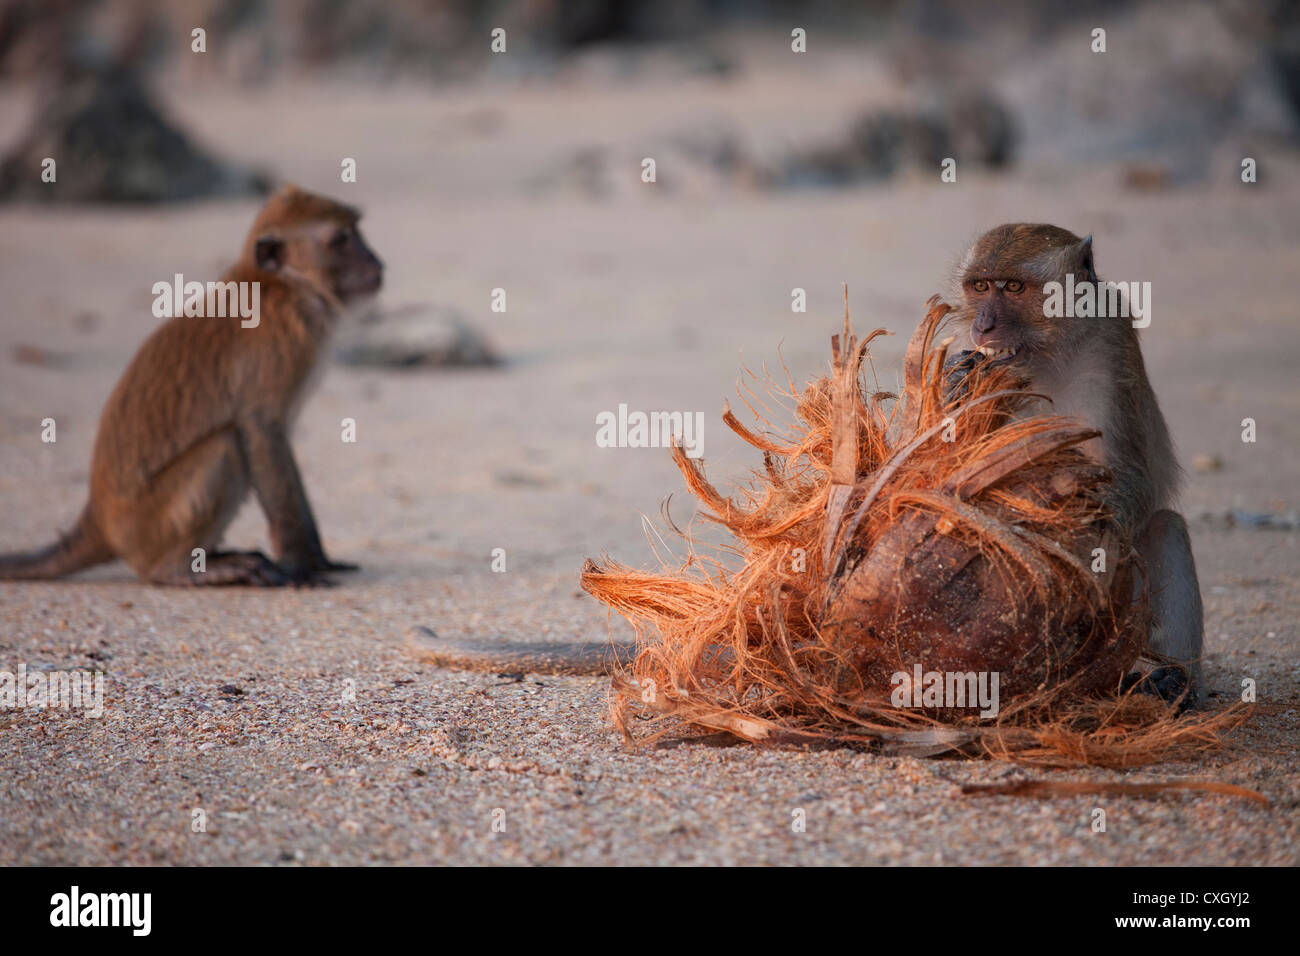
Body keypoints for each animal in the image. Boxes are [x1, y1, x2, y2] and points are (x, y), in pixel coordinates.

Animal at [0, 185, 382, 586]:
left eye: (355, 232)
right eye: (341, 240)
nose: (376, 261)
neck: (285, 285)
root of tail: (100, 520)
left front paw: (317, 559)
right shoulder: (289, 342)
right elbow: (260, 430)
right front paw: (299, 564)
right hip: (151, 523)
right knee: (226, 445)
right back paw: (179, 569)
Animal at [941, 223, 1204, 708]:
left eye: (1013, 288)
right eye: (981, 286)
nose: (983, 325)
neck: (1052, 350)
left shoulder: (1112, 345)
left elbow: (1133, 479)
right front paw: (956, 388)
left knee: (1165, 527)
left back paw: (1172, 680)